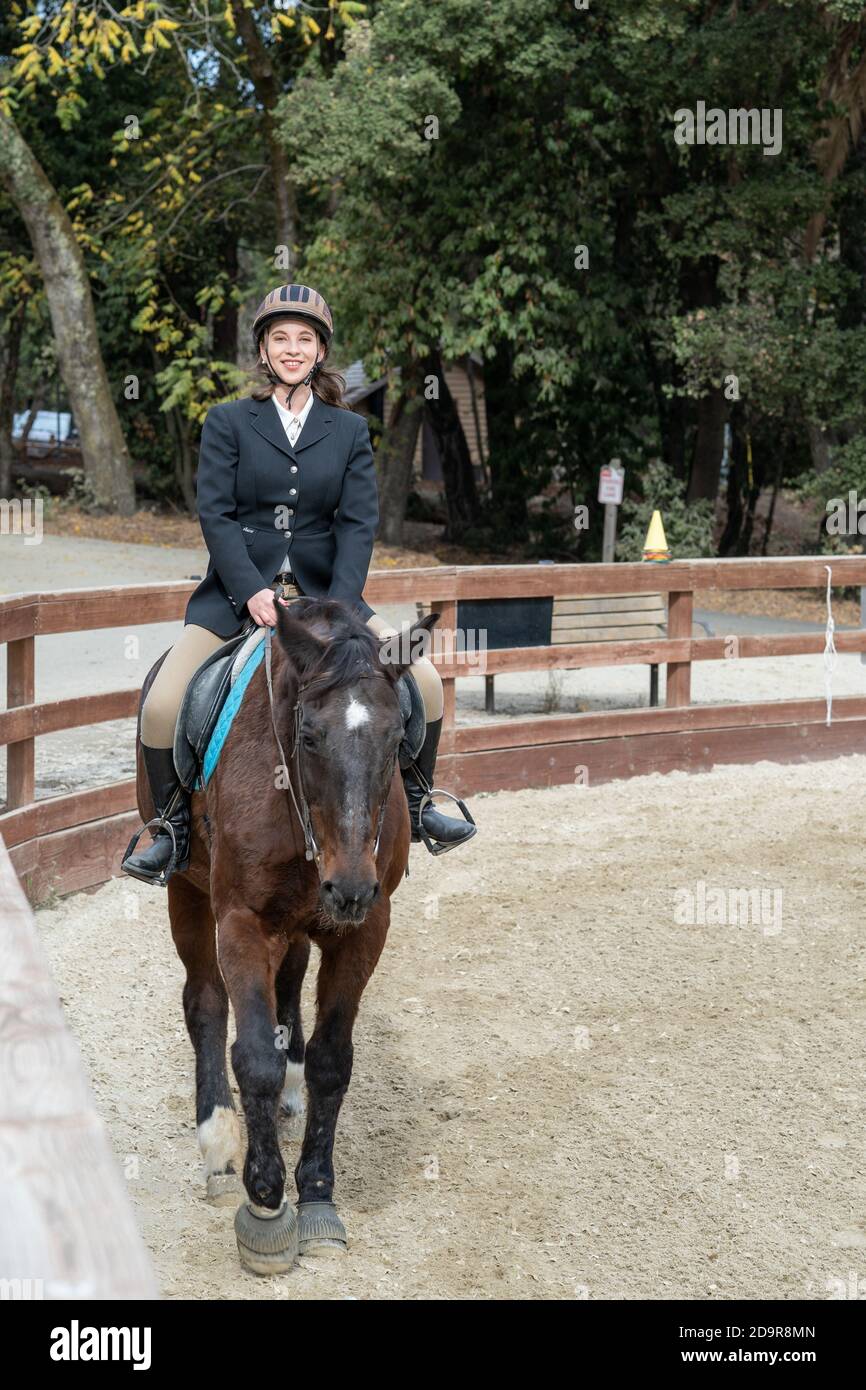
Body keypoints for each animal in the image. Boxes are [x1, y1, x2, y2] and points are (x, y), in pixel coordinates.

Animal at [135, 597, 439, 1274]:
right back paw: (220, 1146)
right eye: (308, 737)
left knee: (290, 984)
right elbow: (251, 1057)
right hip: (186, 890)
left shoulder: (365, 930)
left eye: (396, 739)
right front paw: (266, 1203)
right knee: (205, 1004)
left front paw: (319, 1197)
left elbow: (331, 1061)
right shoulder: (240, 922)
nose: (349, 887)